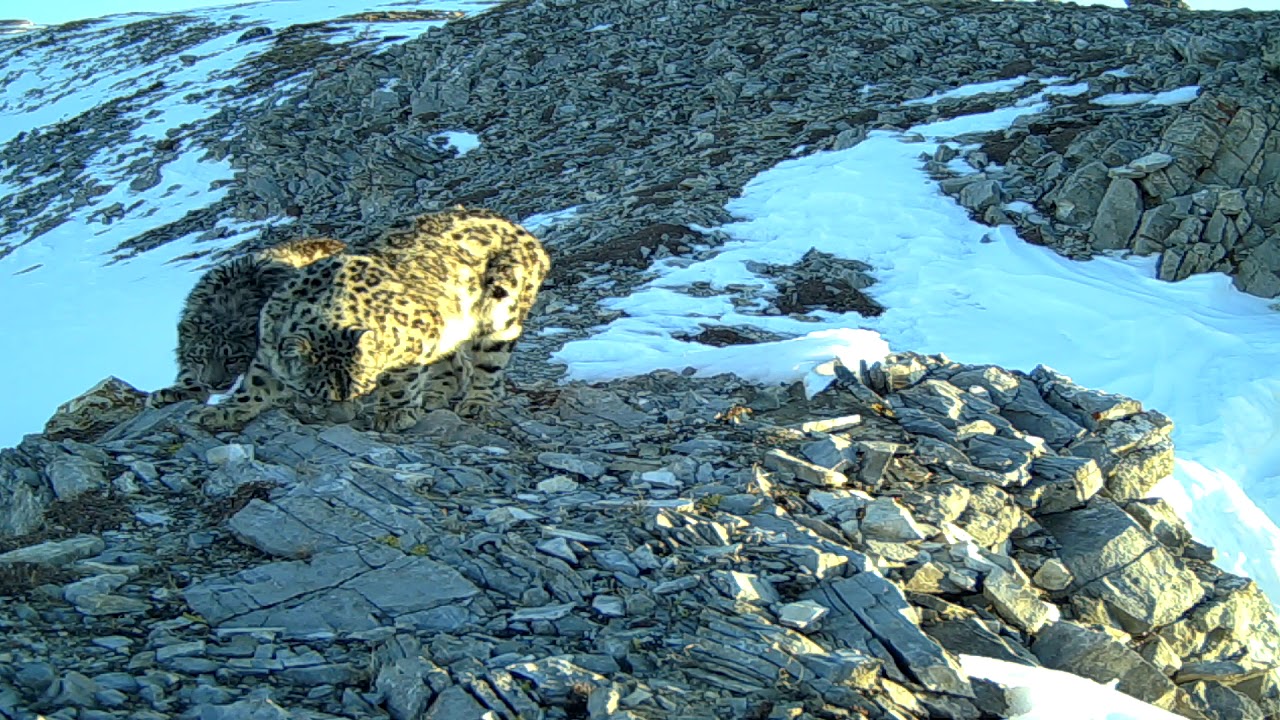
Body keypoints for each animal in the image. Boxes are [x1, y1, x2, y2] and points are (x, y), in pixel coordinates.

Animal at [193, 207, 550, 433]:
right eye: (313, 392)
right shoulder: (268, 349)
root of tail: (524, 232)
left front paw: (394, 413)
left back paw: (476, 400)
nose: (342, 419)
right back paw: (435, 395)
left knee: (488, 365)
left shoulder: (418, 334)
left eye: (363, 388)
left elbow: (401, 377)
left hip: (501, 308)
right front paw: (225, 412)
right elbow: (254, 384)